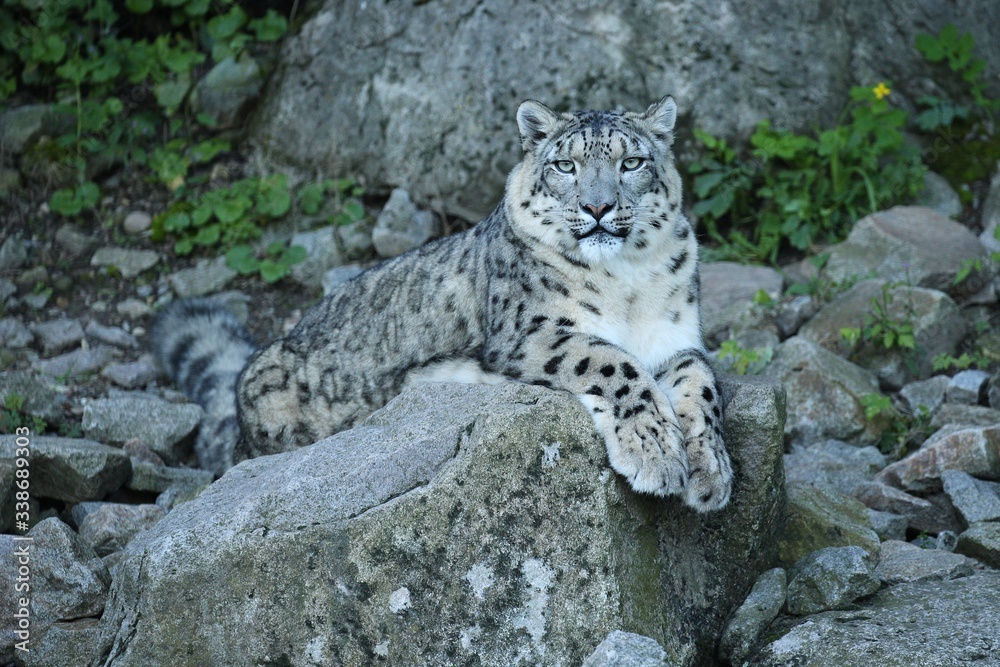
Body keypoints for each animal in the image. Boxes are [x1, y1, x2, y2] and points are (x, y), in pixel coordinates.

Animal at [150, 96, 733, 512]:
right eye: (565, 166)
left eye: (632, 161)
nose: (597, 207)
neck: (627, 285)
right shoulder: (533, 333)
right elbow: (615, 363)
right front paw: (656, 456)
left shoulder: (677, 337)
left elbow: (701, 383)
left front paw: (711, 472)